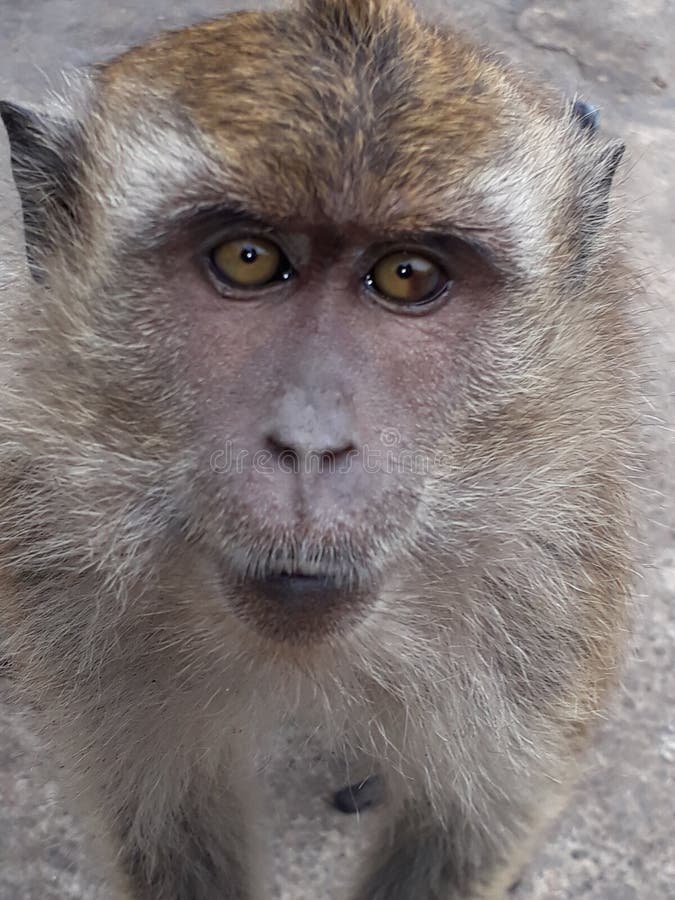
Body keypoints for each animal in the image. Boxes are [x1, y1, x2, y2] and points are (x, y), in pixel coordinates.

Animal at [0, 0, 640, 898]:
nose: (309, 446)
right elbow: (168, 825)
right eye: (247, 259)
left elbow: (467, 829)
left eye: (407, 275)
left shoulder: (548, 580)